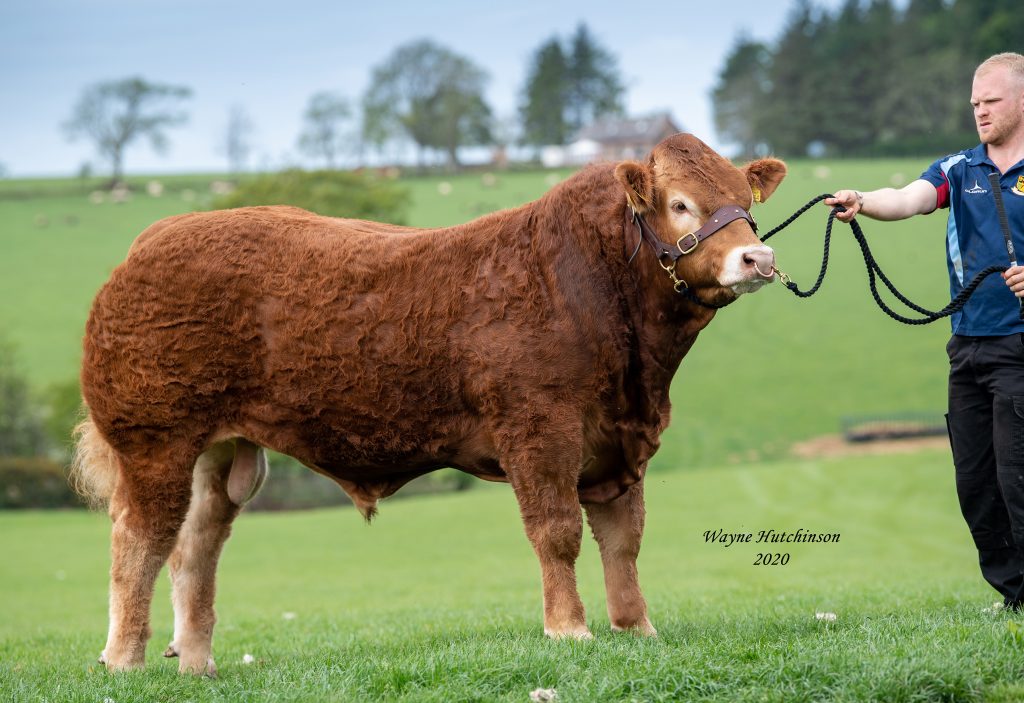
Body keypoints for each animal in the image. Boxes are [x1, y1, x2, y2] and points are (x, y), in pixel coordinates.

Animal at [71, 133, 786, 675]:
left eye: (743, 200)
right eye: (680, 204)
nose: (758, 256)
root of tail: (157, 237)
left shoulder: (620, 444)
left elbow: (623, 541)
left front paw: (635, 628)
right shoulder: (539, 431)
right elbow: (556, 532)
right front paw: (569, 630)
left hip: (219, 450)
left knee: (195, 546)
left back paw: (196, 663)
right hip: (155, 439)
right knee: (140, 539)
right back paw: (124, 660)